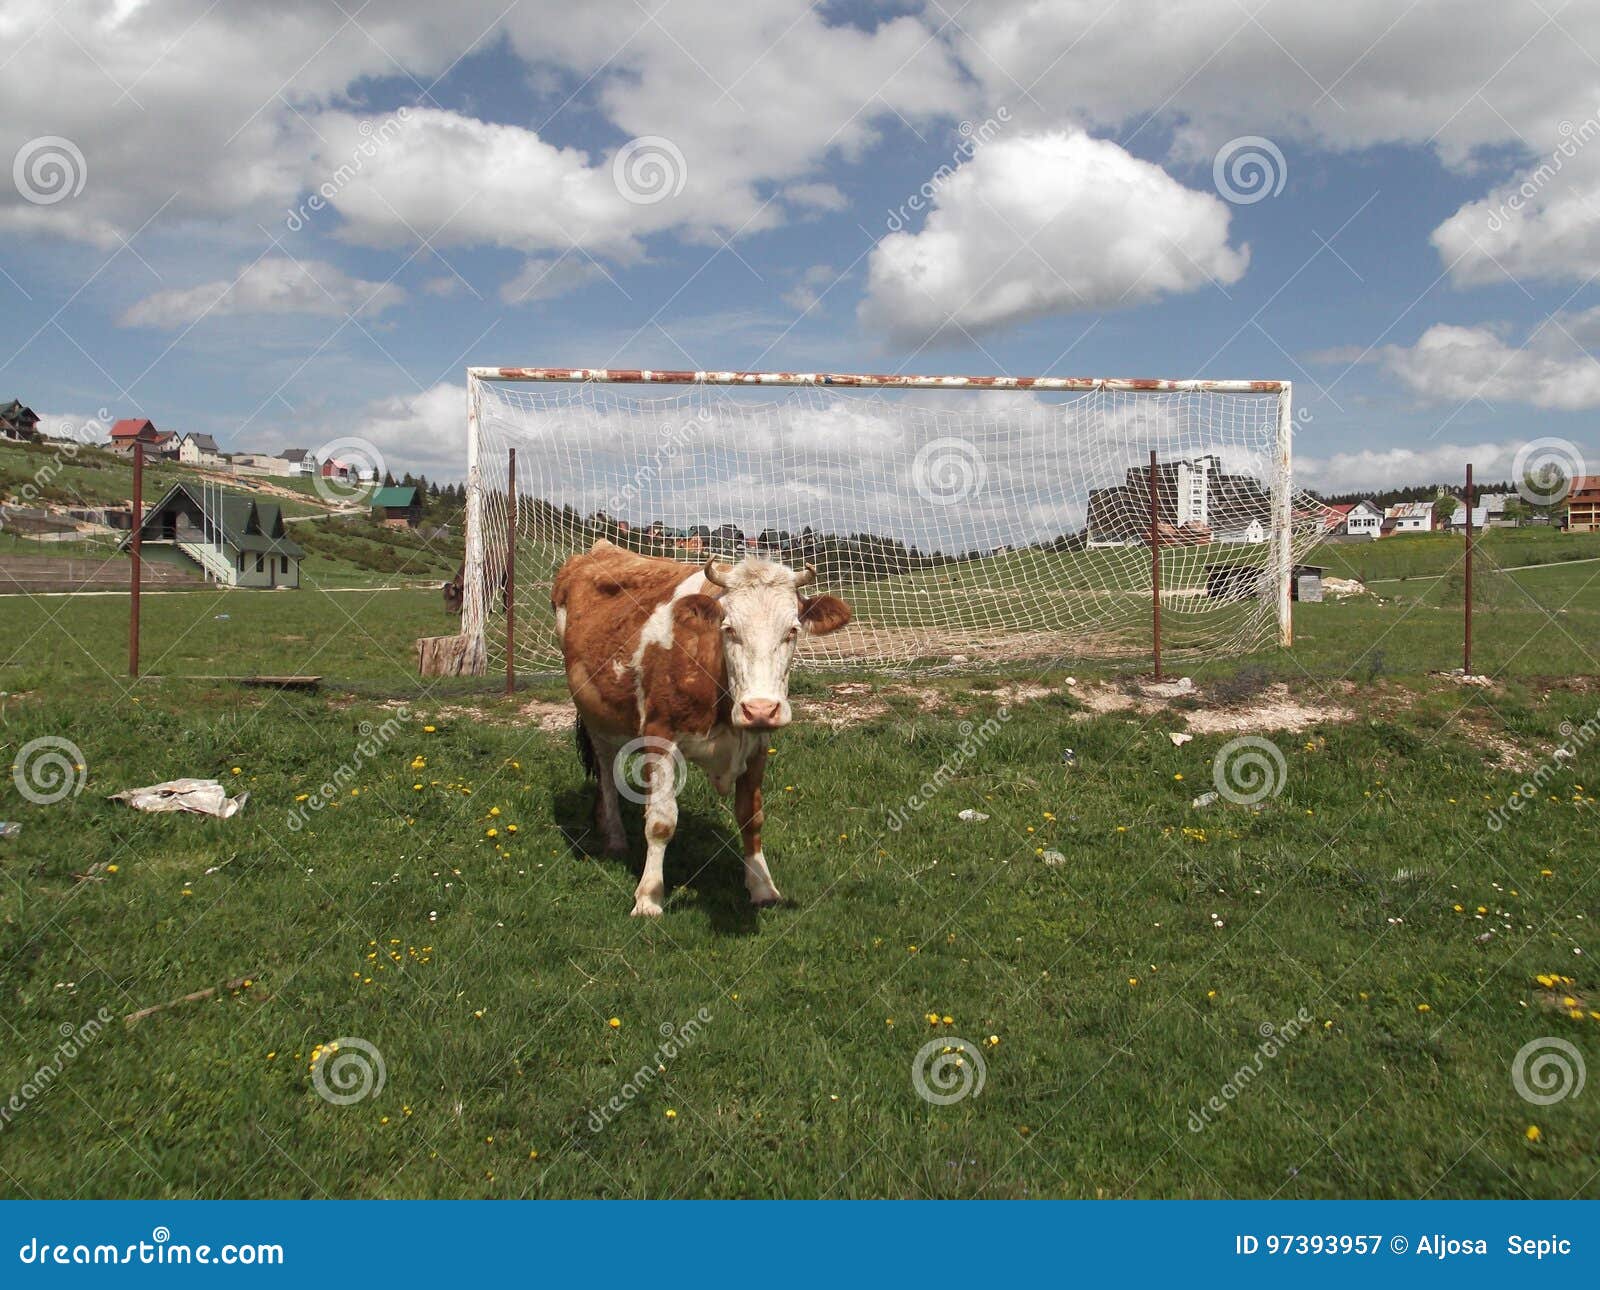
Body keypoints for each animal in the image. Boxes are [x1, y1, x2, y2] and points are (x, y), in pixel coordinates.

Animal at [552, 539, 852, 917]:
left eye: (792, 630)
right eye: (729, 628)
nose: (760, 708)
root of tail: (600, 549)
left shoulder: (757, 744)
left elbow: (751, 817)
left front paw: (762, 886)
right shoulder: (660, 736)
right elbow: (661, 821)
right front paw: (648, 897)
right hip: (594, 713)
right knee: (606, 768)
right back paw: (615, 837)